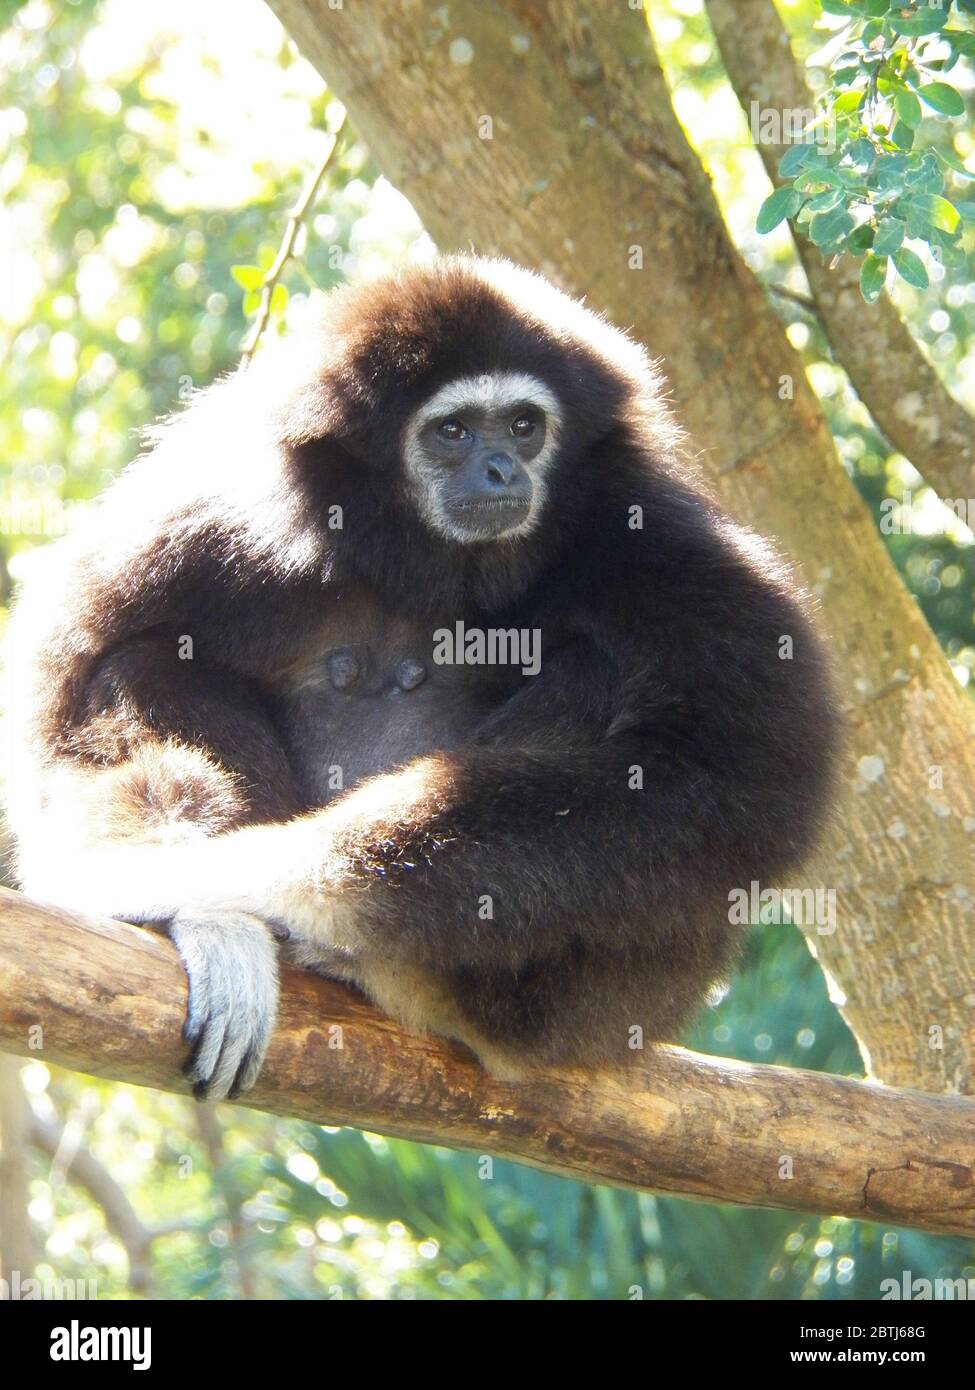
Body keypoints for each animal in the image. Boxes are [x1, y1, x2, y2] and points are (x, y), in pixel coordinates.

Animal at [4, 256, 837, 1101]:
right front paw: (210, 919)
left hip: (602, 1001)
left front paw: (219, 882)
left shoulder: (643, 528)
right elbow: (65, 679)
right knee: (142, 660)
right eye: (452, 431)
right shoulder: (218, 513)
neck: (417, 562)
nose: (501, 468)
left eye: (525, 426)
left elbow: (737, 774)